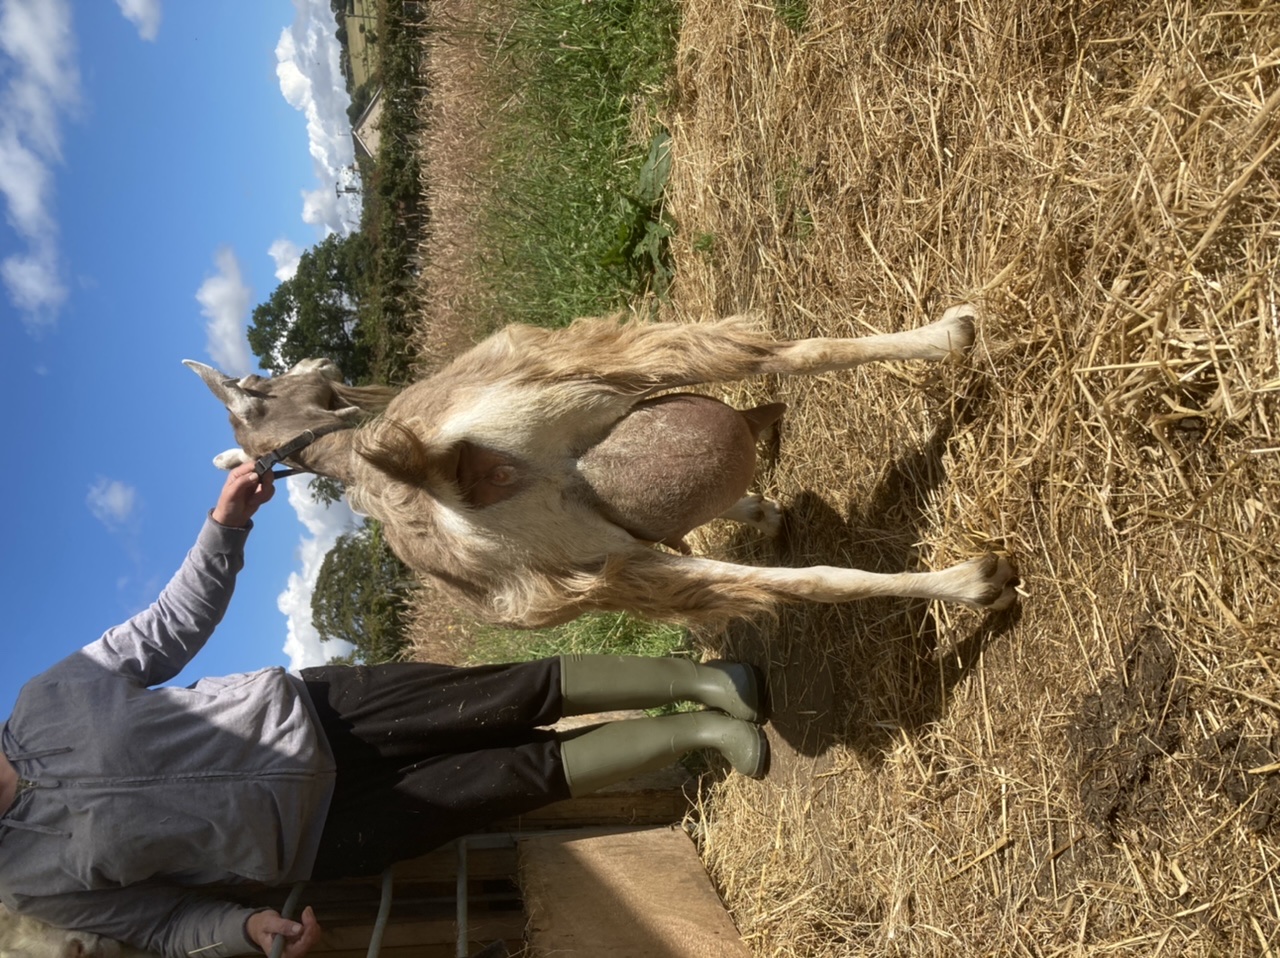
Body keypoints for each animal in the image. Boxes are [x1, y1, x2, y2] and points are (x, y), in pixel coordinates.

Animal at [187, 308, 1016, 628]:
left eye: (259, 382)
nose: (320, 364)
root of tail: (434, 469)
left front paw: (760, 508)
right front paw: (762, 510)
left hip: (578, 395)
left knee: (774, 357)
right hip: (598, 421)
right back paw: (974, 579)